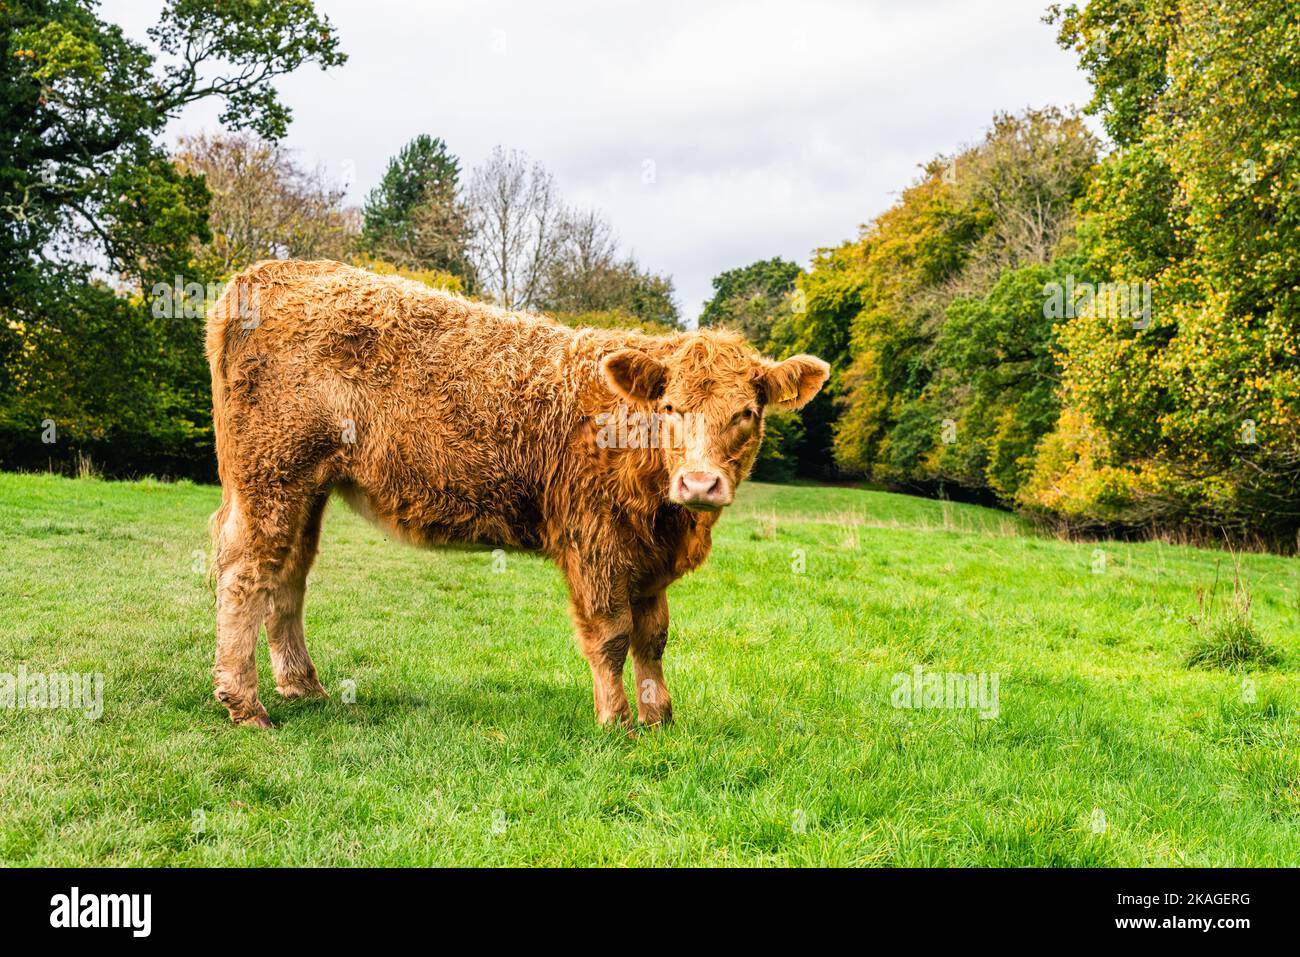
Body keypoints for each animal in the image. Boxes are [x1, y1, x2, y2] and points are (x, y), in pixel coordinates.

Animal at [205, 260, 828, 729]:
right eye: (670, 408)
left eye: (746, 413)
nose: (699, 482)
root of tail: (266, 272)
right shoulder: (596, 544)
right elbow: (613, 636)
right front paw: (618, 723)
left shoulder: (649, 559)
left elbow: (654, 638)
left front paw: (660, 721)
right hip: (270, 474)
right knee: (245, 571)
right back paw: (245, 704)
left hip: (304, 487)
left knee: (287, 575)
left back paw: (303, 687)